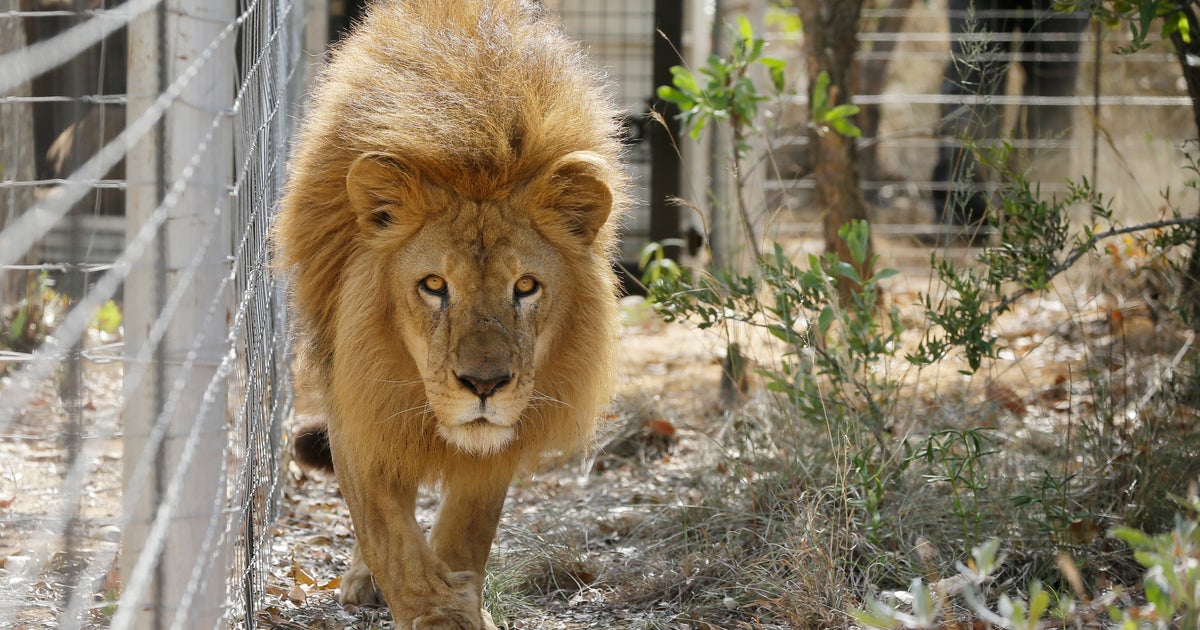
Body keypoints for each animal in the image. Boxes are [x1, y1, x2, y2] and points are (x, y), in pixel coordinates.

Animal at [273, 0, 628, 627]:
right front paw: (433, 609)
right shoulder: (357, 398)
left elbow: (468, 528)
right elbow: (387, 532)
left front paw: (461, 596)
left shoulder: (506, 429)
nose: (483, 385)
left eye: (526, 286)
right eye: (434, 285)